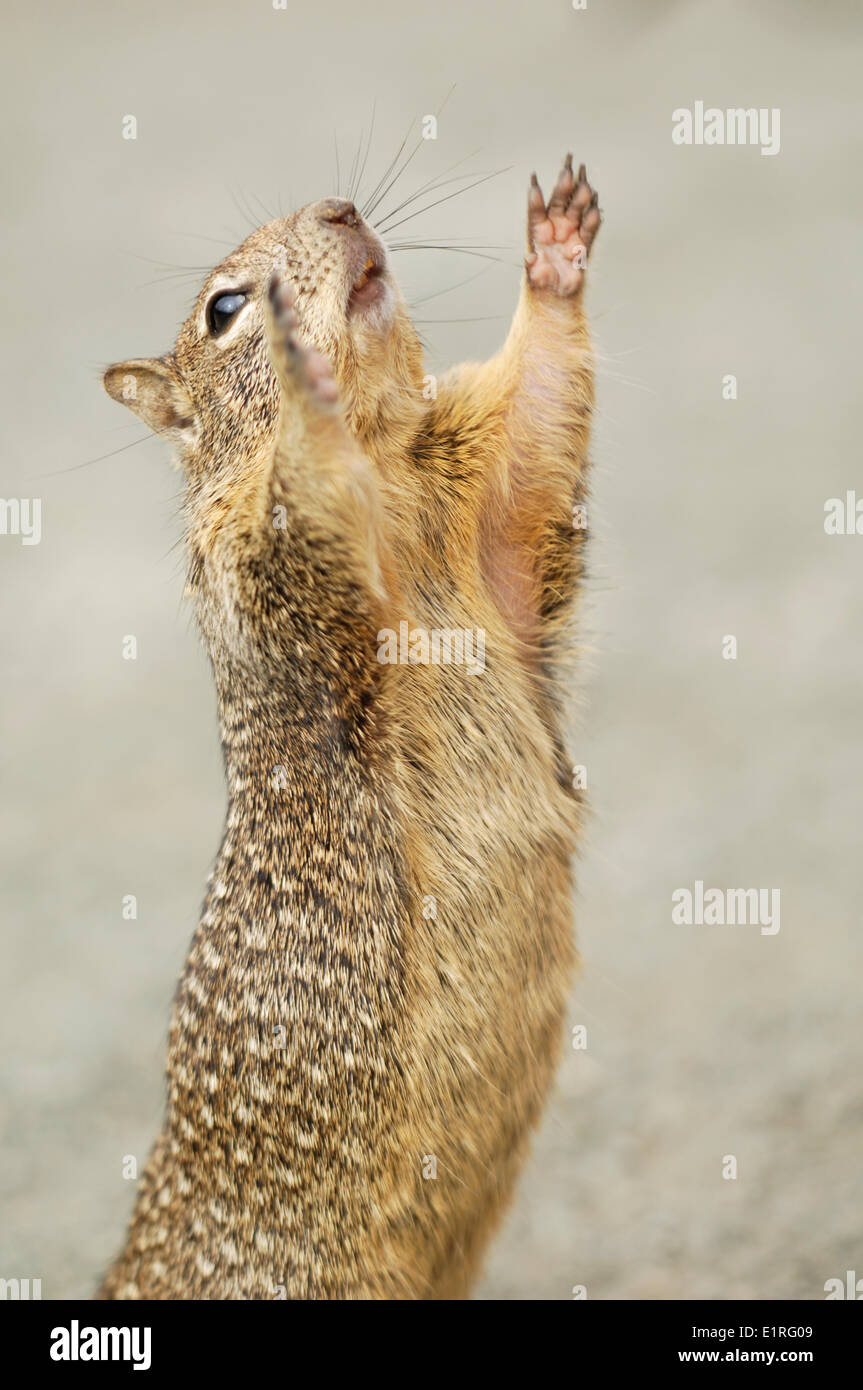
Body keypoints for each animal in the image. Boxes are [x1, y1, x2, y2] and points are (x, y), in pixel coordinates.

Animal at [98, 155, 601, 1300]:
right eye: (223, 309)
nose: (341, 207)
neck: (383, 460)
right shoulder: (260, 570)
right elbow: (298, 517)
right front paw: (301, 387)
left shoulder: (484, 509)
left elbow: (536, 433)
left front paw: (554, 256)